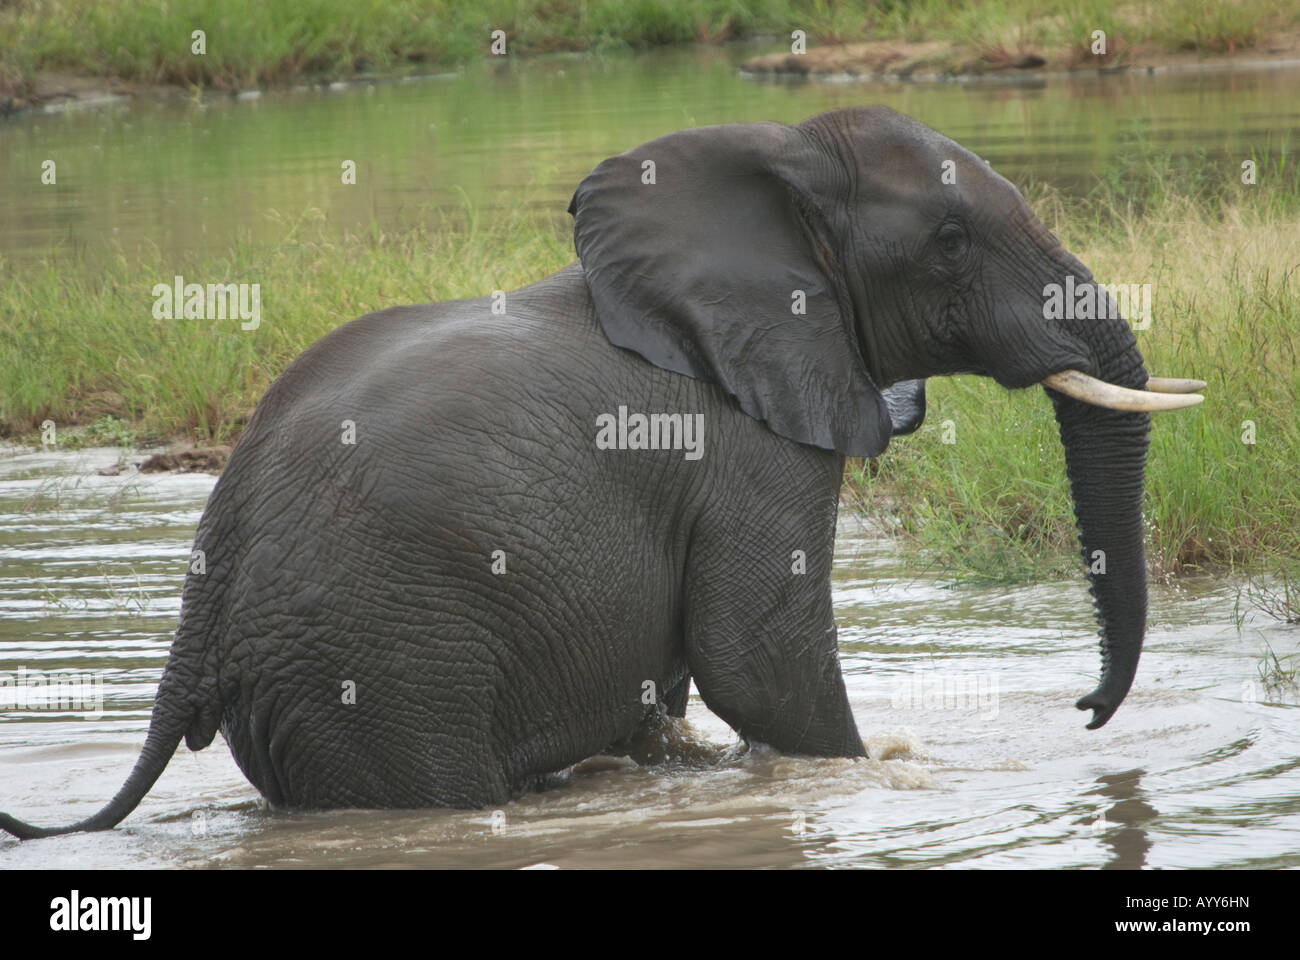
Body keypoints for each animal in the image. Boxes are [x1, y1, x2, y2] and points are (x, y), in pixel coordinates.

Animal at [0, 106, 1204, 839]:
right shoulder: (749, 448)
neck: (771, 179)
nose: (1086, 709)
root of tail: (204, 592)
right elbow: (758, 662)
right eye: (950, 242)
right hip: (375, 664)